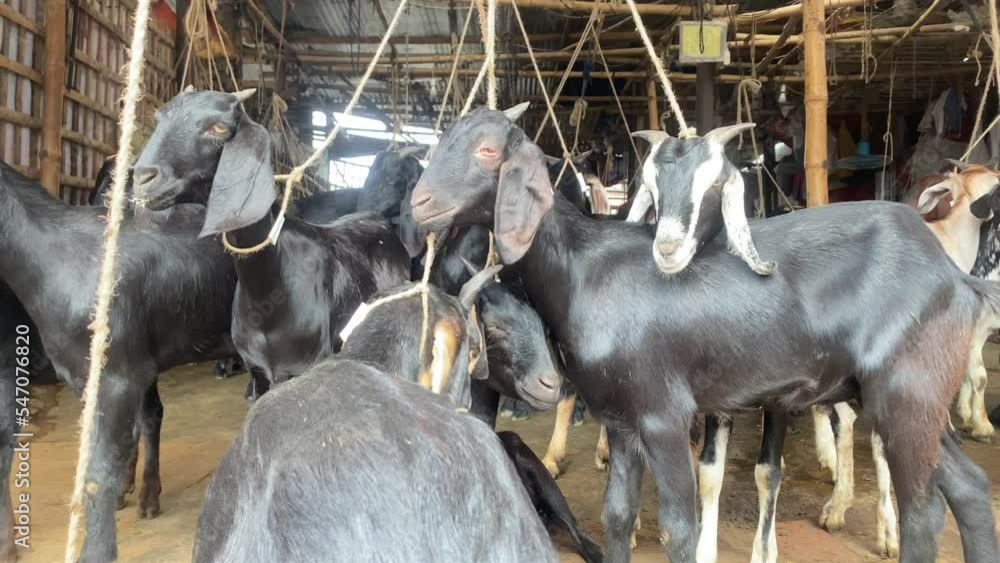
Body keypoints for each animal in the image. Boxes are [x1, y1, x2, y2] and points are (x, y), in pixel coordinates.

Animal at [410, 105, 999, 563]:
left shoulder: (664, 414)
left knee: (924, 511)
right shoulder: (621, 419)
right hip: (914, 394)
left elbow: (680, 531)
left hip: (906, 392)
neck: (583, 268)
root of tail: (957, 277)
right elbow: (617, 515)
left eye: (488, 150)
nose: (419, 204)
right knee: (969, 490)